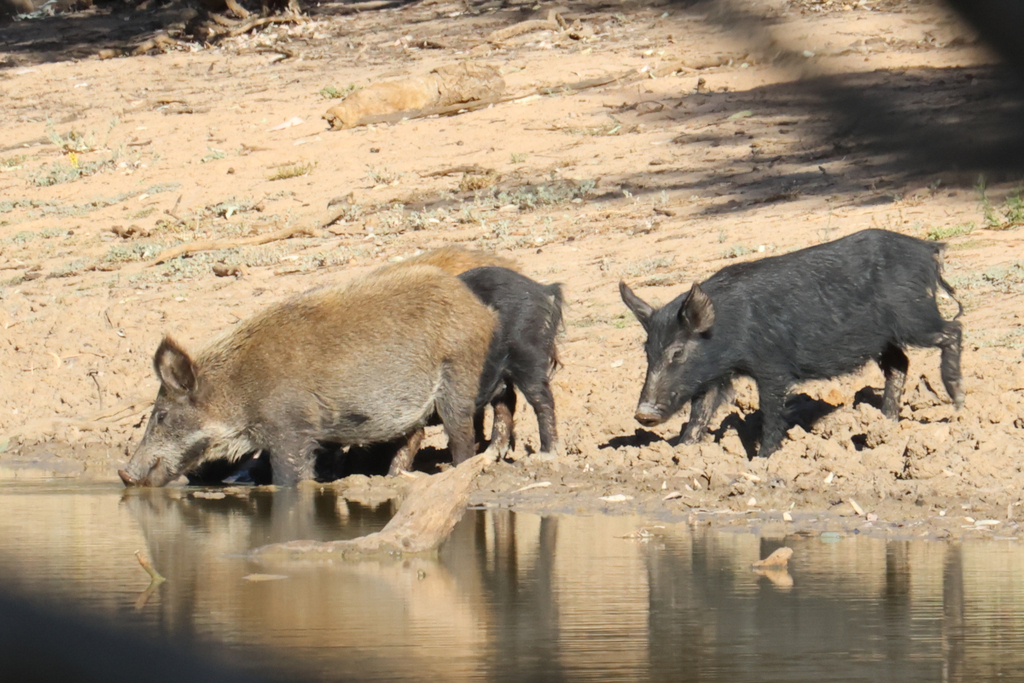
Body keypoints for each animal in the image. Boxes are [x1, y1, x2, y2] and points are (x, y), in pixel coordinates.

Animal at [119, 264, 497, 487]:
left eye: (161, 415)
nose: (124, 473)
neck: (237, 390)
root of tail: (480, 311)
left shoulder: (291, 428)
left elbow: (292, 475)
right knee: (412, 436)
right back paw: (391, 478)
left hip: (458, 375)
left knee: (461, 436)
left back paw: (458, 471)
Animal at [384, 266, 564, 474]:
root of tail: (542, 290)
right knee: (507, 402)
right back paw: (489, 457)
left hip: (528, 355)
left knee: (541, 399)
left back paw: (543, 455)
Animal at [619, 229, 964, 458]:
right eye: (648, 352)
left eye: (677, 352)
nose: (643, 414)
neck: (731, 327)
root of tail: (927, 249)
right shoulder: (714, 376)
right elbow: (699, 412)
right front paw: (682, 452)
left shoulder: (773, 366)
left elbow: (772, 411)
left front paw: (763, 459)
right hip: (885, 337)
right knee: (899, 364)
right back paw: (887, 421)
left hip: (914, 317)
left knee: (953, 330)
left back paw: (957, 402)